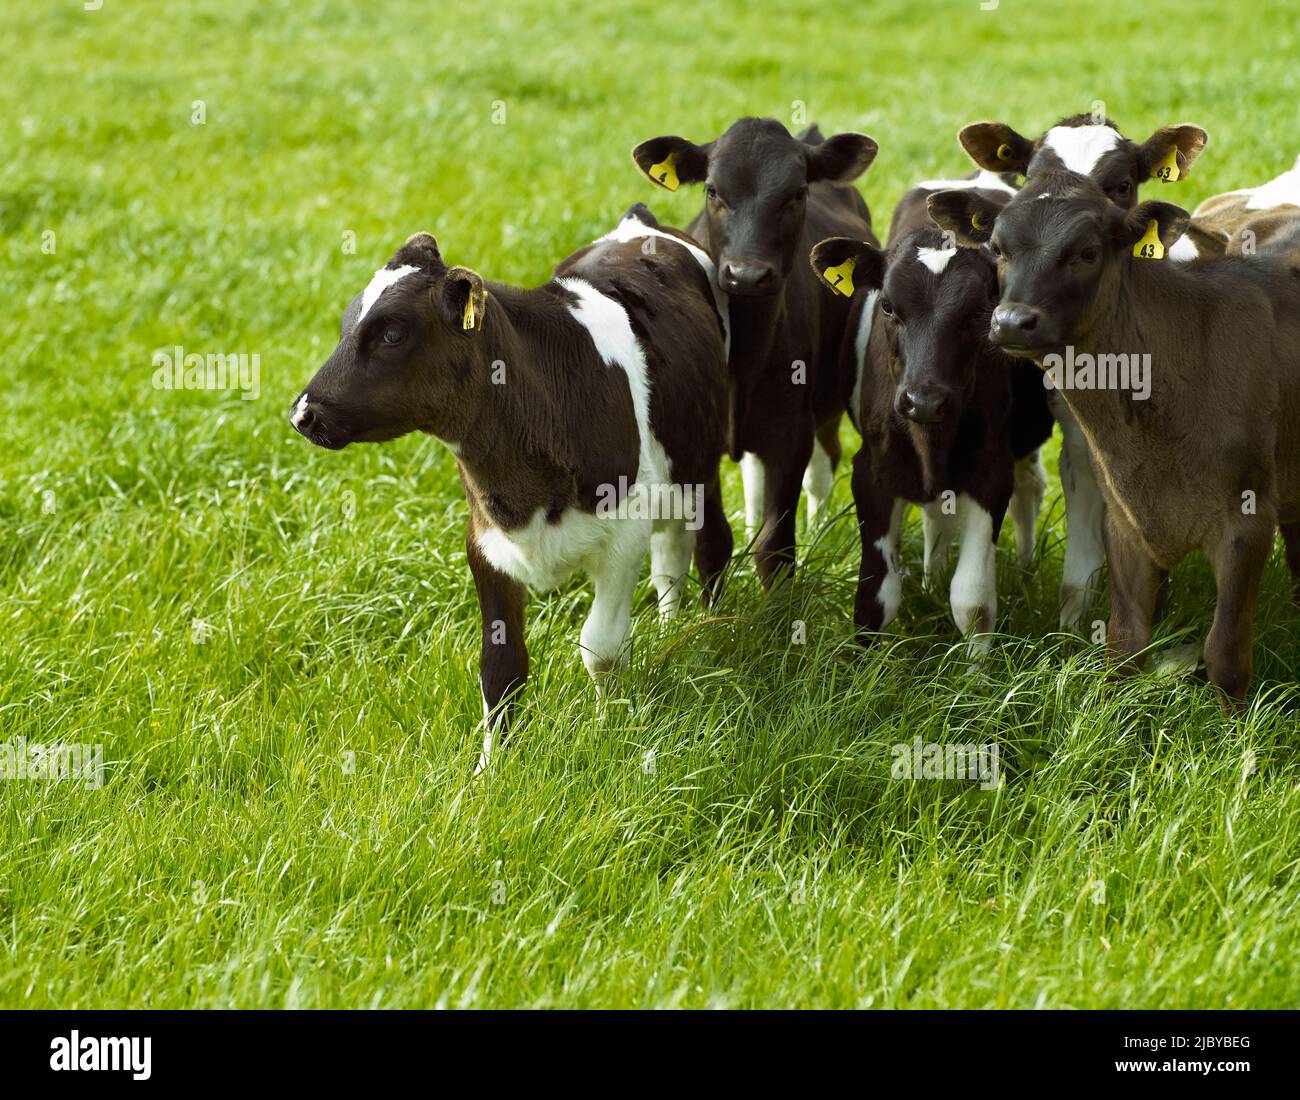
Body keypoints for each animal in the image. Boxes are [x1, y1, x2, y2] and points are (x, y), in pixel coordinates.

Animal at [290, 207, 733, 770]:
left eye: (391, 333)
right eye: (348, 323)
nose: (303, 413)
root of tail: (640, 223)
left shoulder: (622, 535)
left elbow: (602, 647)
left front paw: (609, 731)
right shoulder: (484, 543)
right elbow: (501, 667)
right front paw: (491, 768)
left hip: (703, 460)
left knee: (709, 545)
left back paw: (711, 629)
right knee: (671, 557)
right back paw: (672, 629)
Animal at [631, 118, 879, 585]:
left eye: (797, 192)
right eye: (712, 189)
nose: (747, 274)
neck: (742, 361)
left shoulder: (792, 430)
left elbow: (775, 545)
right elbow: (712, 545)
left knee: (824, 466)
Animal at [809, 221, 1053, 653]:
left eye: (978, 311)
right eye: (888, 306)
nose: (924, 401)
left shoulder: (991, 474)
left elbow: (973, 602)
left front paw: (976, 668)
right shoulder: (870, 473)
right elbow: (874, 599)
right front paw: (863, 666)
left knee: (1030, 489)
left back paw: (1027, 572)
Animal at [929, 172, 1300, 706]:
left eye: (1087, 252)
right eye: (997, 248)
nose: (1011, 321)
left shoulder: (1247, 521)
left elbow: (1226, 659)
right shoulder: (1124, 520)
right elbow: (1125, 647)